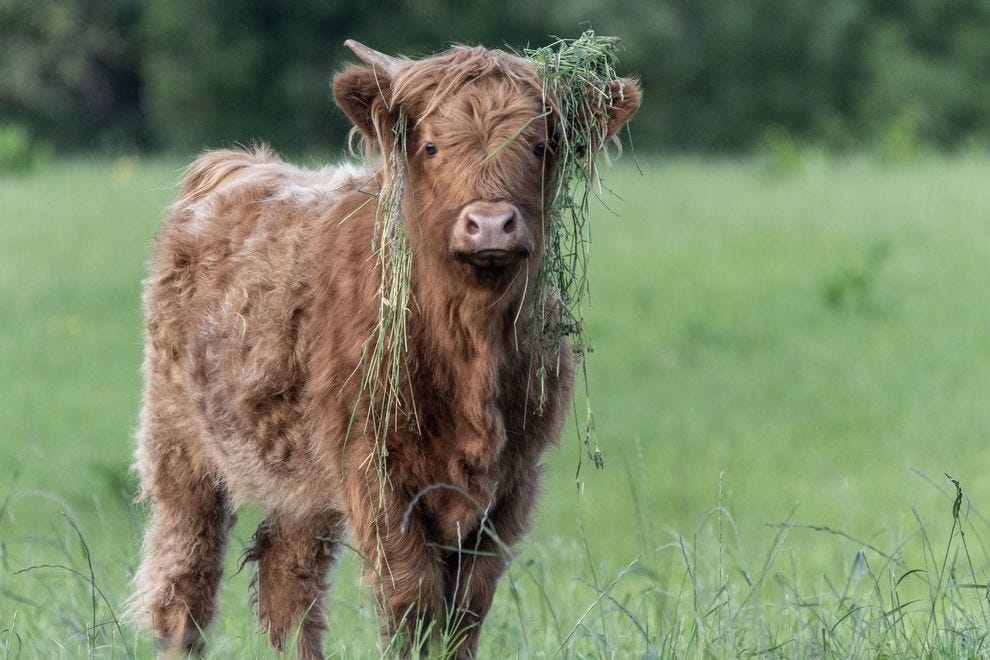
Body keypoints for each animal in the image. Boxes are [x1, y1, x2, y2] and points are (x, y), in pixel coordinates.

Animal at [130, 40, 640, 658]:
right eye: (431, 145)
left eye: (542, 145)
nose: (491, 223)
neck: (468, 349)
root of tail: (237, 166)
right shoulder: (374, 471)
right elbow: (411, 600)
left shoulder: (512, 482)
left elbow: (466, 608)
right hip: (180, 447)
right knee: (185, 583)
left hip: (300, 477)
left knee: (288, 578)